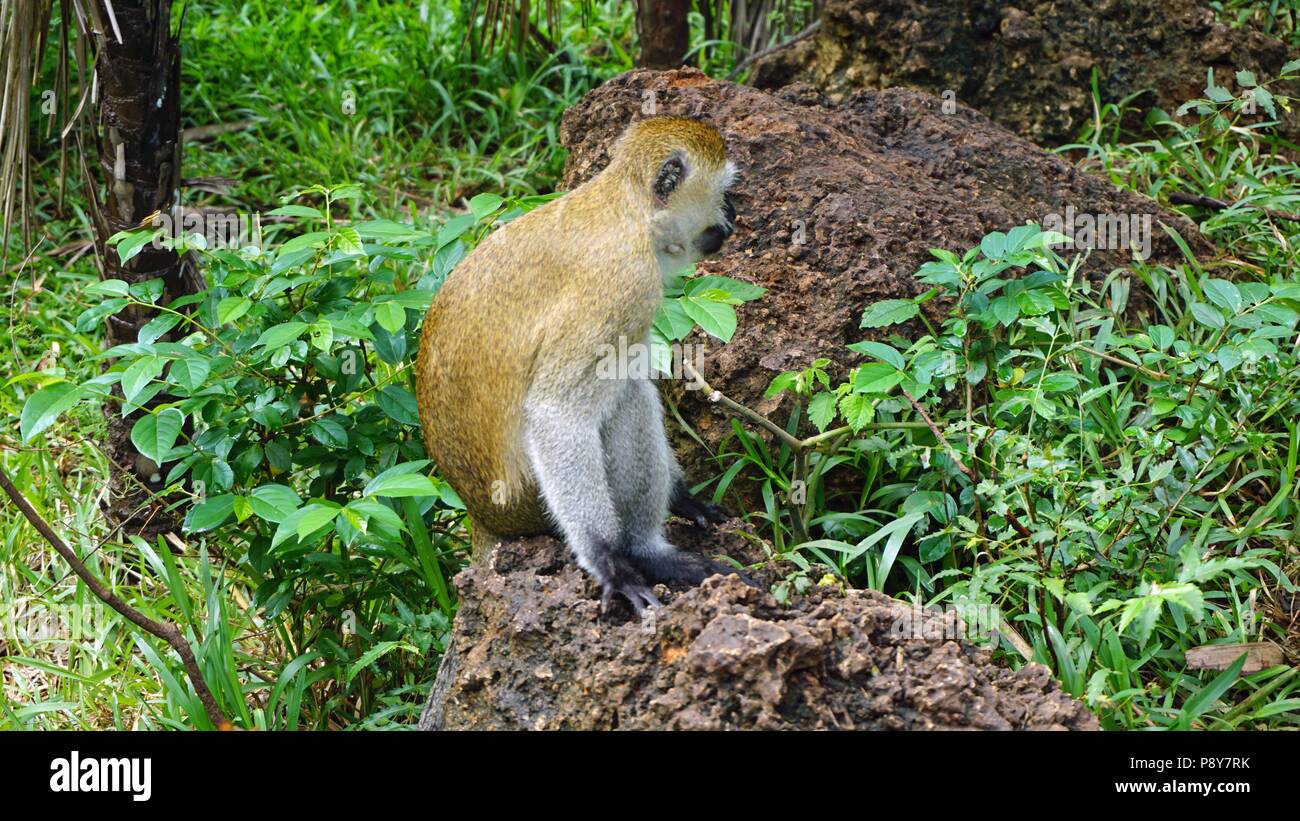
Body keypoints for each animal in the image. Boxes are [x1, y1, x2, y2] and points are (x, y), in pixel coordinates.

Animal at [415, 116, 741, 614]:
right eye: (724, 192)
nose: (734, 216)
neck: (625, 210)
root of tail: (482, 516)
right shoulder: (624, 286)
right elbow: (558, 414)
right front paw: (610, 560)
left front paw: (682, 496)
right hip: (526, 501)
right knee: (624, 395)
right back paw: (648, 553)